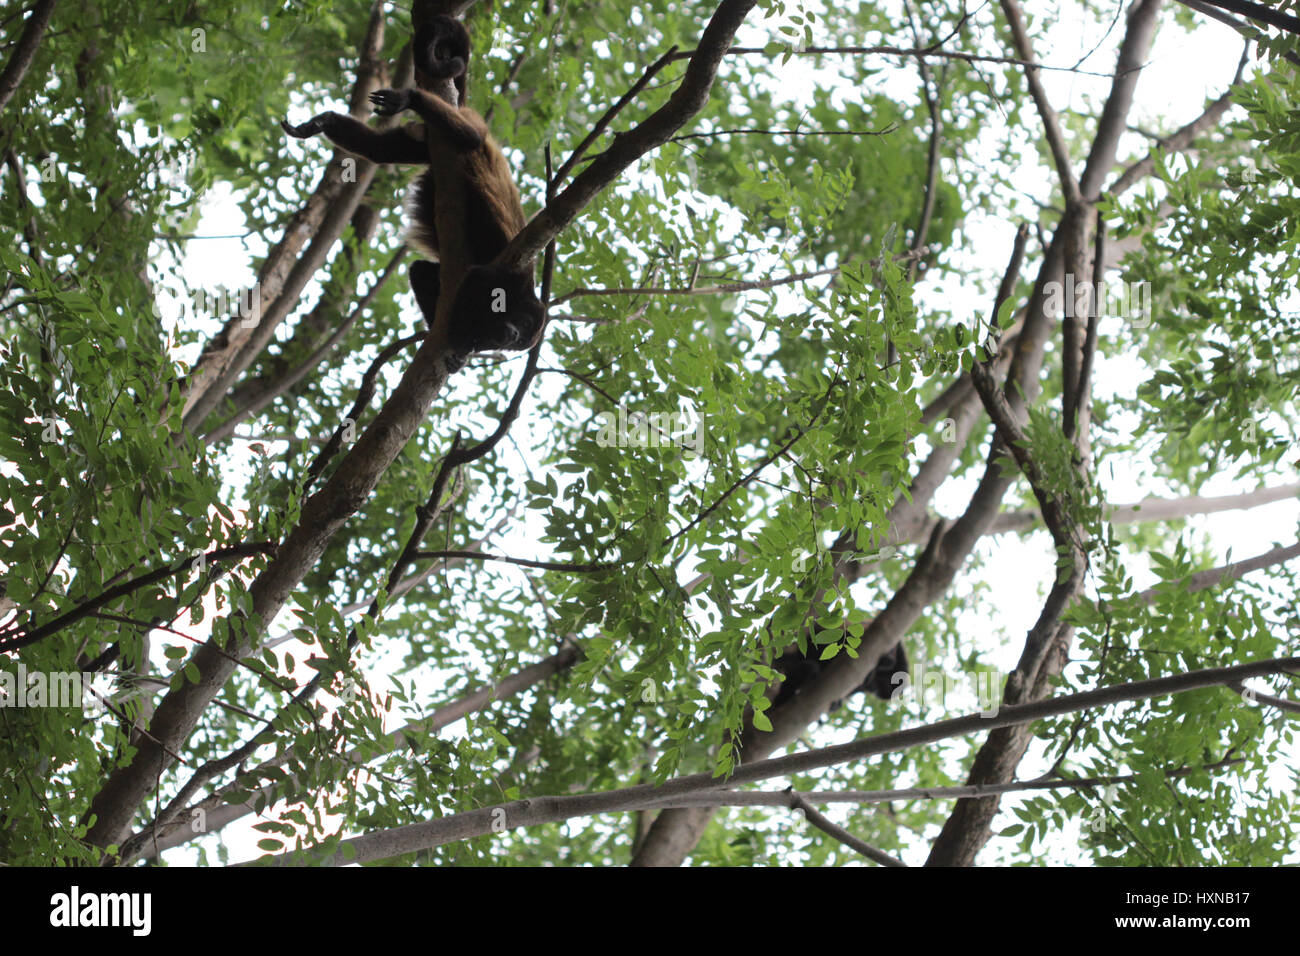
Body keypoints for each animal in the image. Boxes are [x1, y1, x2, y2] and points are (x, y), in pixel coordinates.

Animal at [280, 15, 543, 364]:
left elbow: (420, 271)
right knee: (469, 137)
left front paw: (468, 341)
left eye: (519, 341)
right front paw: (460, 339)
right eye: (523, 325)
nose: (512, 336)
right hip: (469, 127)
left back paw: (326, 122)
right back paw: (409, 99)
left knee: (381, 151)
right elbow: (476, 280)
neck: (522, 294)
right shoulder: (510, 277)